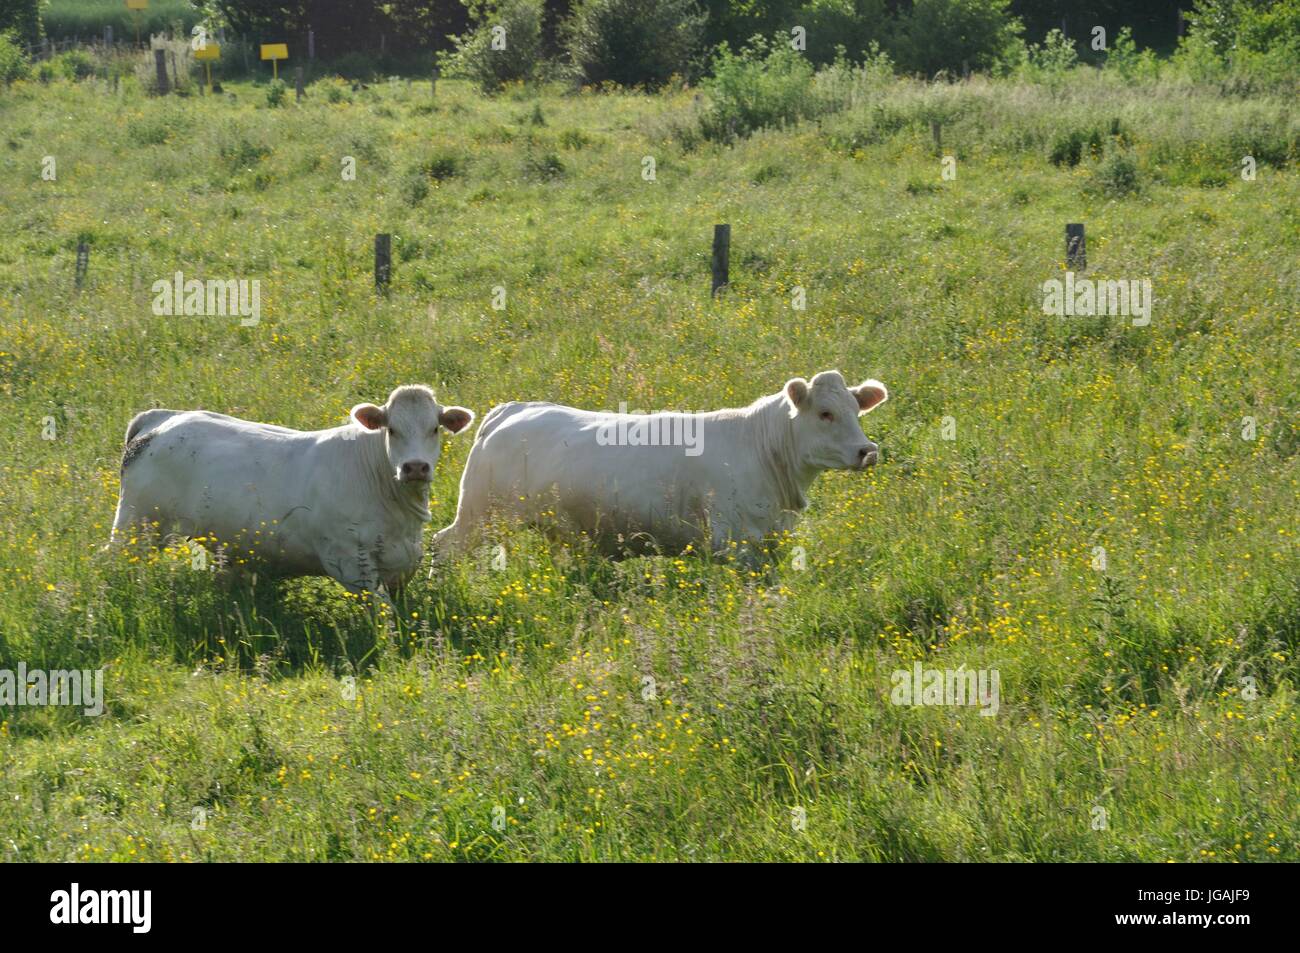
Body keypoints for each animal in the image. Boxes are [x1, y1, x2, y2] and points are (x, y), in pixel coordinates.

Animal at [109, 385, 474, 599]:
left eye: (434, 428)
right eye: (392, 430)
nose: (415, 467)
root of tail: (162, 419)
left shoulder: (403, 563)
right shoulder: (349, 562)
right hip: (137, 525)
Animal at [431, 370, 887, 566]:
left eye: (856, 410)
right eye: (825, 413)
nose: (867, 451)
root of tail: (511, 410)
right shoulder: (733, 540)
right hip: (480, 514)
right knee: (442, 545)